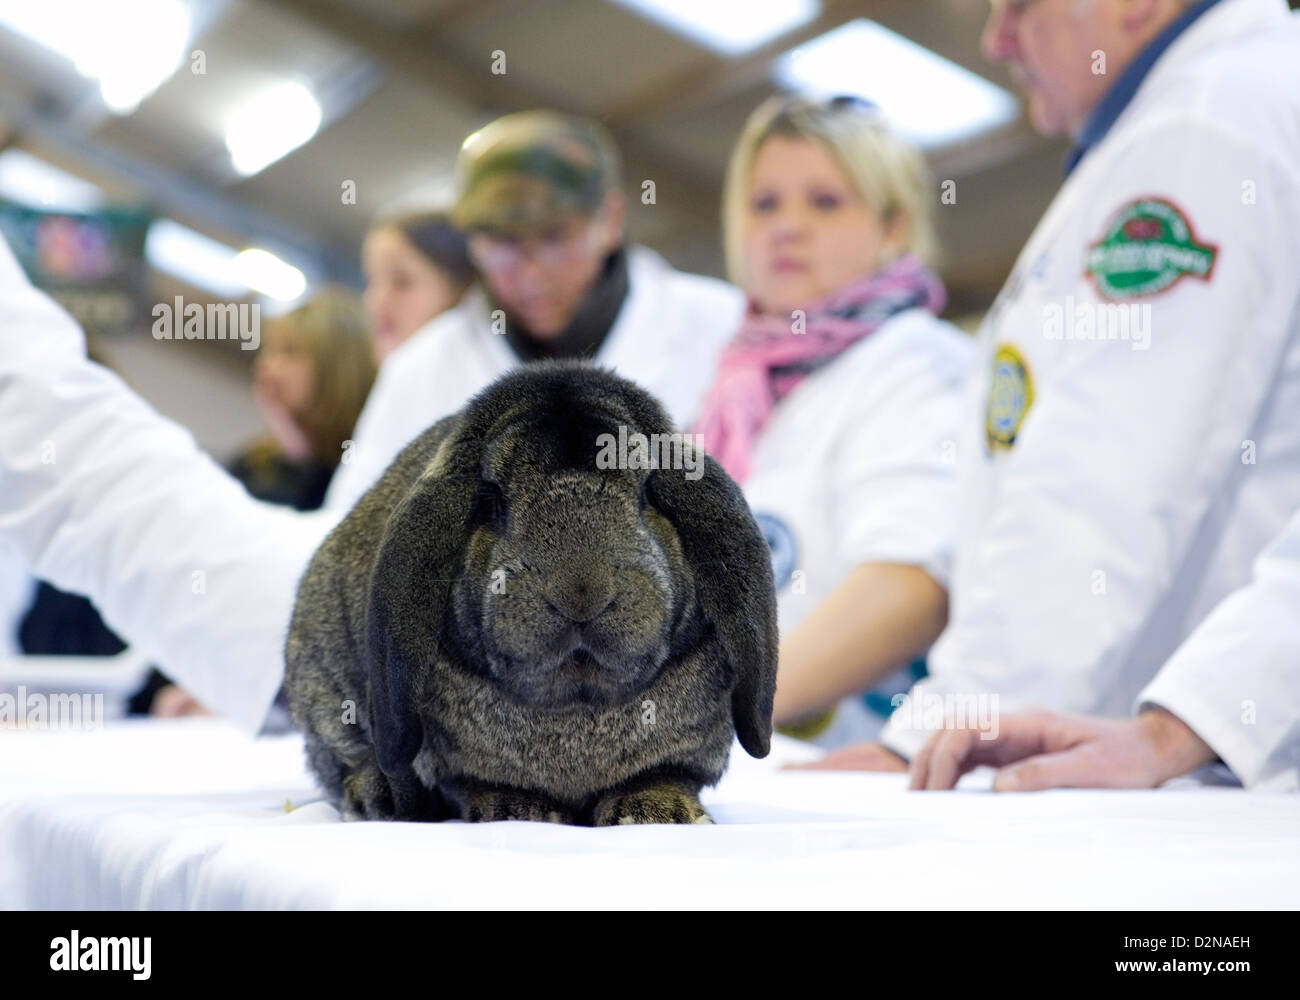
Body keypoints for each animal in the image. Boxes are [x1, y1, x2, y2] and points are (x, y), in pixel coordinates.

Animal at [284, 360, 777, 825]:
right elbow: (478, 784)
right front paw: (517, 808)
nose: (581, 595)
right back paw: (378, 796)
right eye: (494, 502)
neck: (578, 702)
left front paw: (656, 811)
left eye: (644, 495)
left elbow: (664, 776)